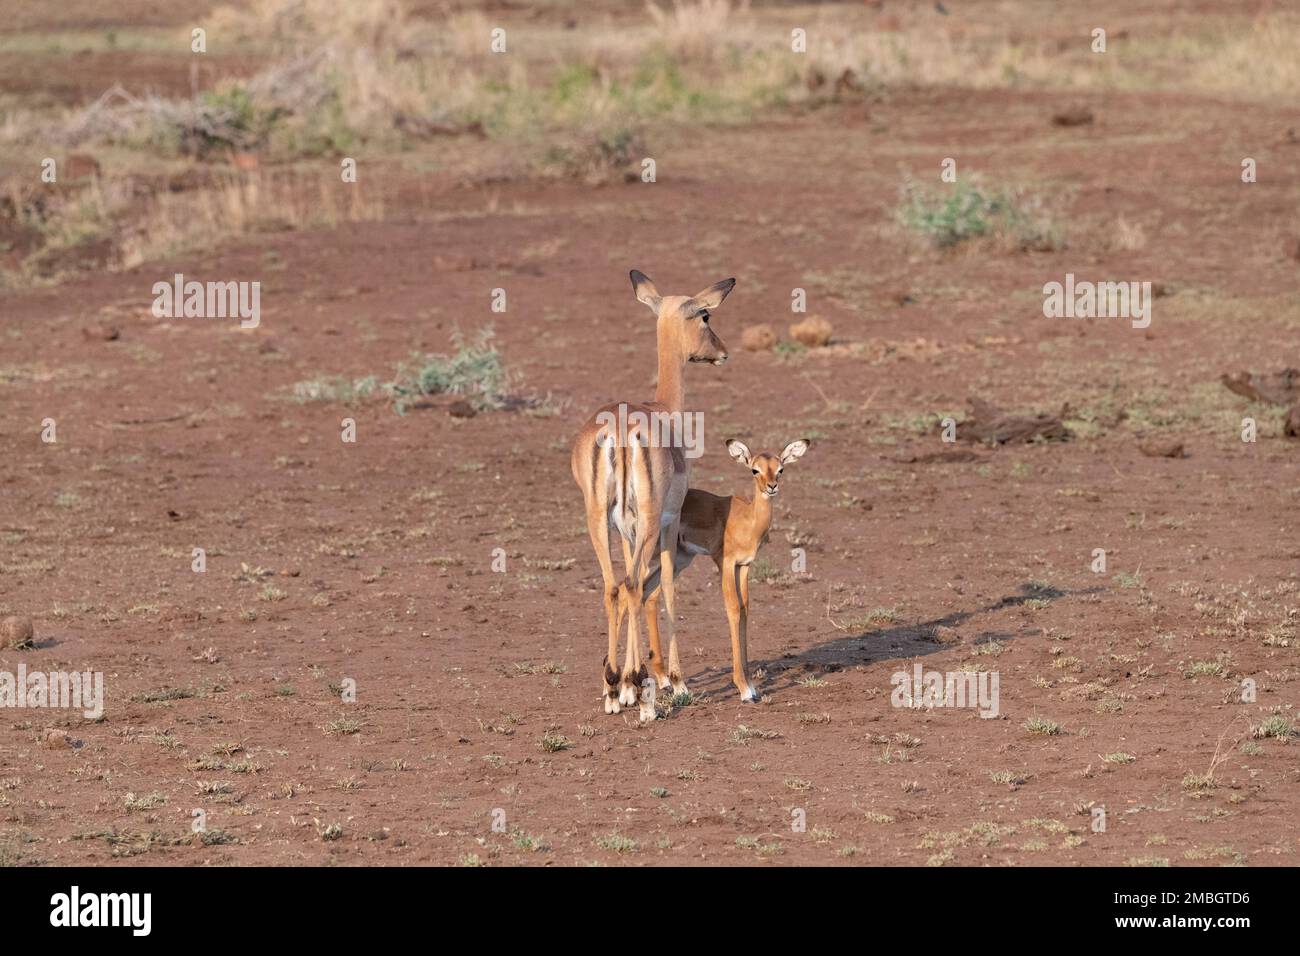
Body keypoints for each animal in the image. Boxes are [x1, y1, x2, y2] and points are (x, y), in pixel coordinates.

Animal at [570, 270, 734, 719]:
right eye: (706, 315)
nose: (723, 353)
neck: (665, 409)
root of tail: (619, 431)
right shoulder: (669, 520)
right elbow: (667, 592)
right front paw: (673, 683)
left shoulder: (627, 529)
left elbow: (634, 584)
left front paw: (628, 685)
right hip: (647, 520)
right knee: (632, 586)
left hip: (598, 519)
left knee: (615, 586)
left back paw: (613, 688)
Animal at [644, 438, 810, 702]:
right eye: (754, 470)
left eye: (781, 469)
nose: (772, 487)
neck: (747, 521)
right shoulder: (725, 564)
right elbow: (732, 609)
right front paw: (743, 688)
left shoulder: (744, 566)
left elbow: (744, 609)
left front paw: (752, 685)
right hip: (656, 559)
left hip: (678, 561)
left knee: (649, 595)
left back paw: (663, 679)